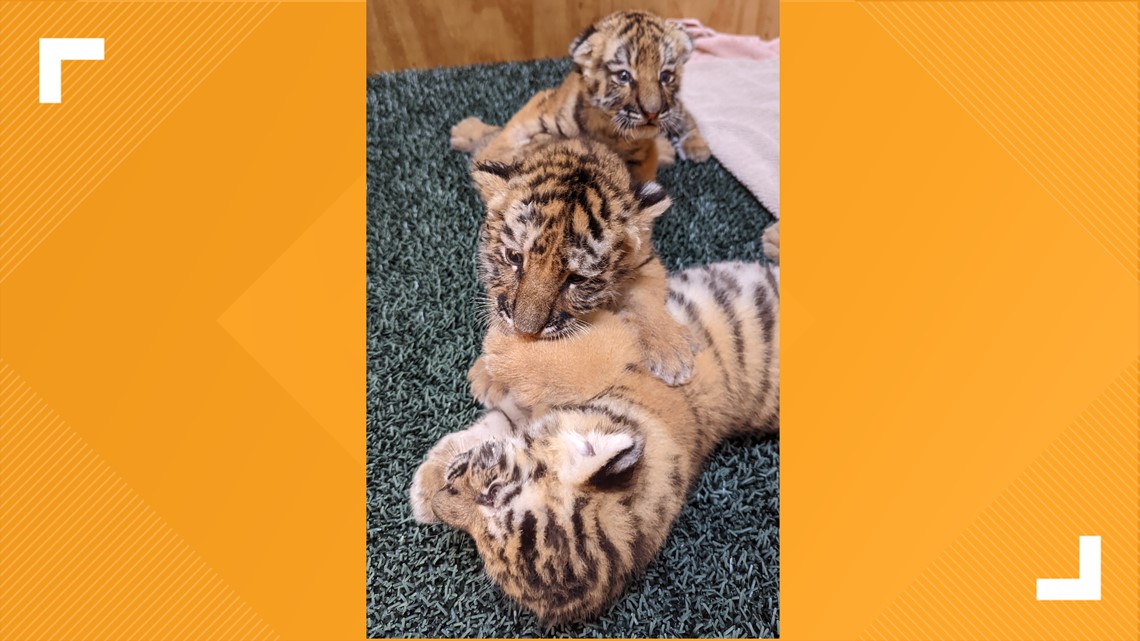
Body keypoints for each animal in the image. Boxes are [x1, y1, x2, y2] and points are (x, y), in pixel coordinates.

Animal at [410, 259, 779, 624]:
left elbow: (574, 360)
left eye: (492, 493)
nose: (441, 502)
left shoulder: (619, 344)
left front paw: (501, 345)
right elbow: (501, 420)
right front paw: (426, 486)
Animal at [450, 10, 711, 184]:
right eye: (624, 76)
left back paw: (695, 148)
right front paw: (482, 152)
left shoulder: (641, 156)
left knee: (684, 115)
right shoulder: (537, 113)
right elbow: (505, 138)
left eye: (665, 76)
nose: (652, 113)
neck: (608, 131)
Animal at [467, 136, 698, 390]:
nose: (525, 331)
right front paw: (490, 378)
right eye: (514, 257)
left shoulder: (644, 261)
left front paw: (672, 354)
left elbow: (646, 300)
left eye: (576, 278)